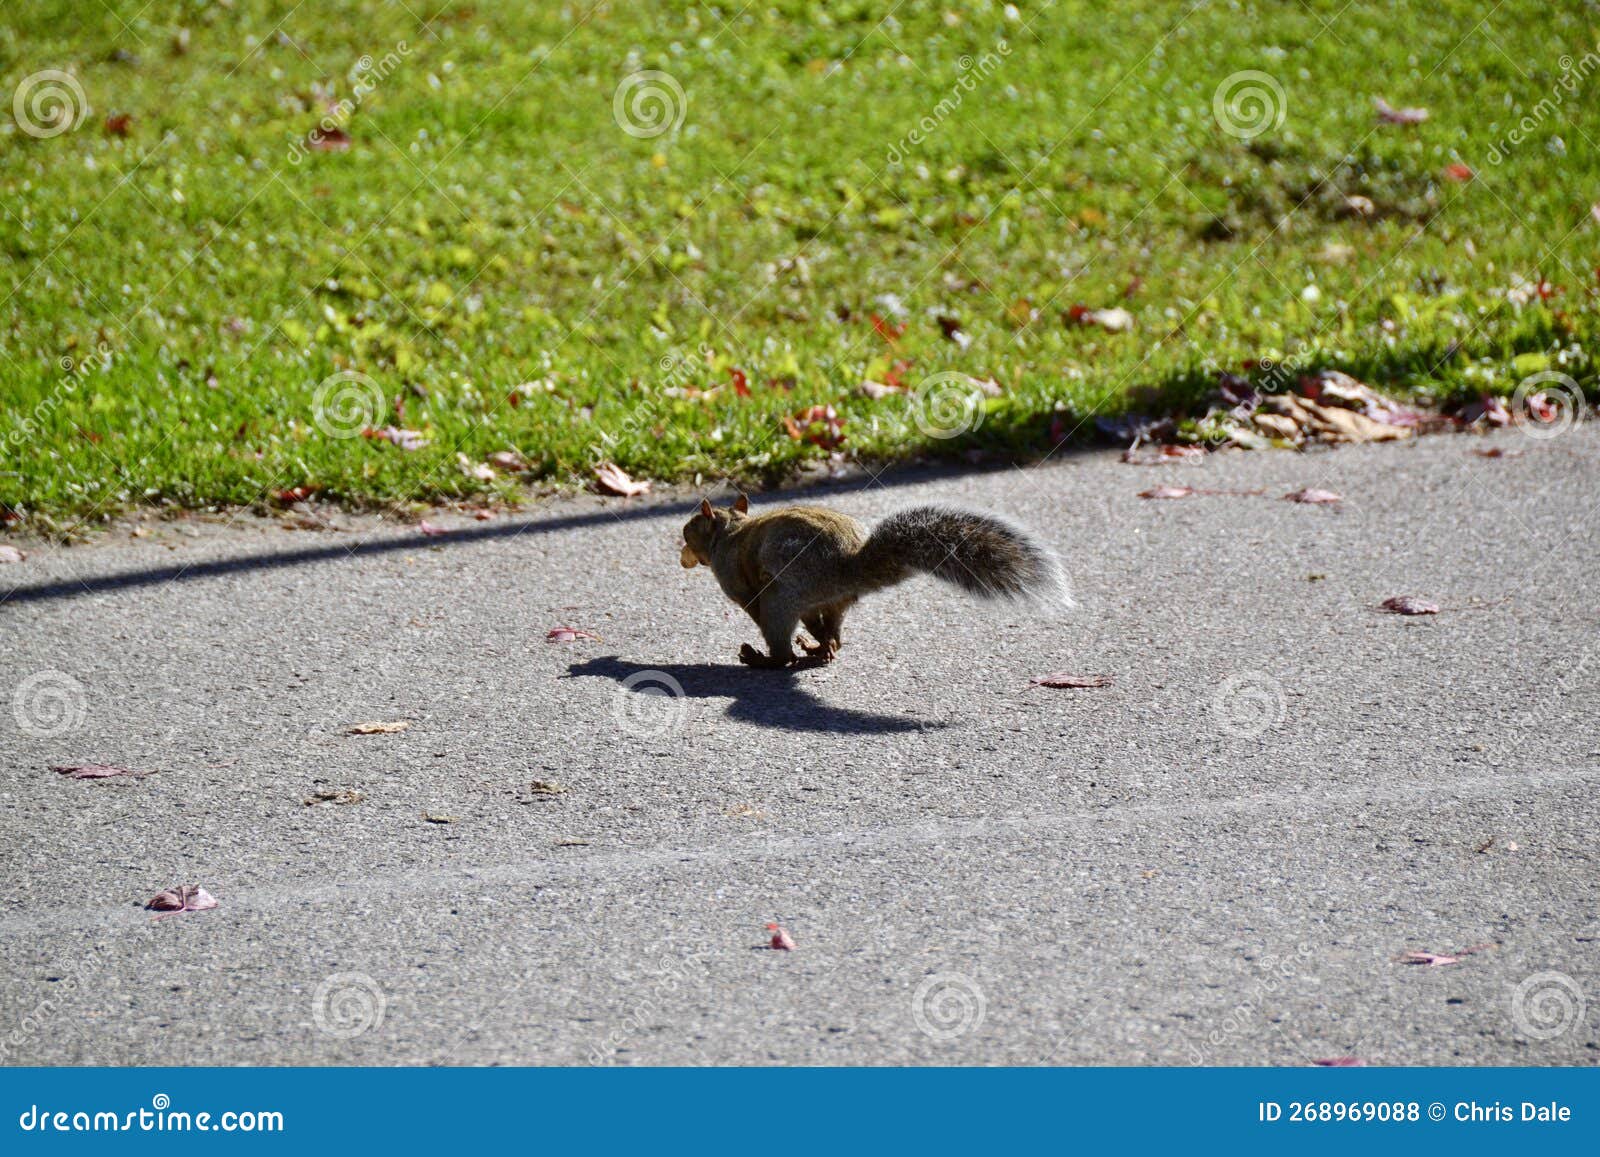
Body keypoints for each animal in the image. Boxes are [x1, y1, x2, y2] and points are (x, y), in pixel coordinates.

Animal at [680, 496, 1067, 668]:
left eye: (690, 528)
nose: (680, 544)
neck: (732, 530)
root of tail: (847, 565)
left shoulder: (737, 582)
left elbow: (752, 606)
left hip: (785, 596)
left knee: (782, 650)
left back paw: (764, 658)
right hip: (826, 600)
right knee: (832, 630)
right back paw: (821, 647)